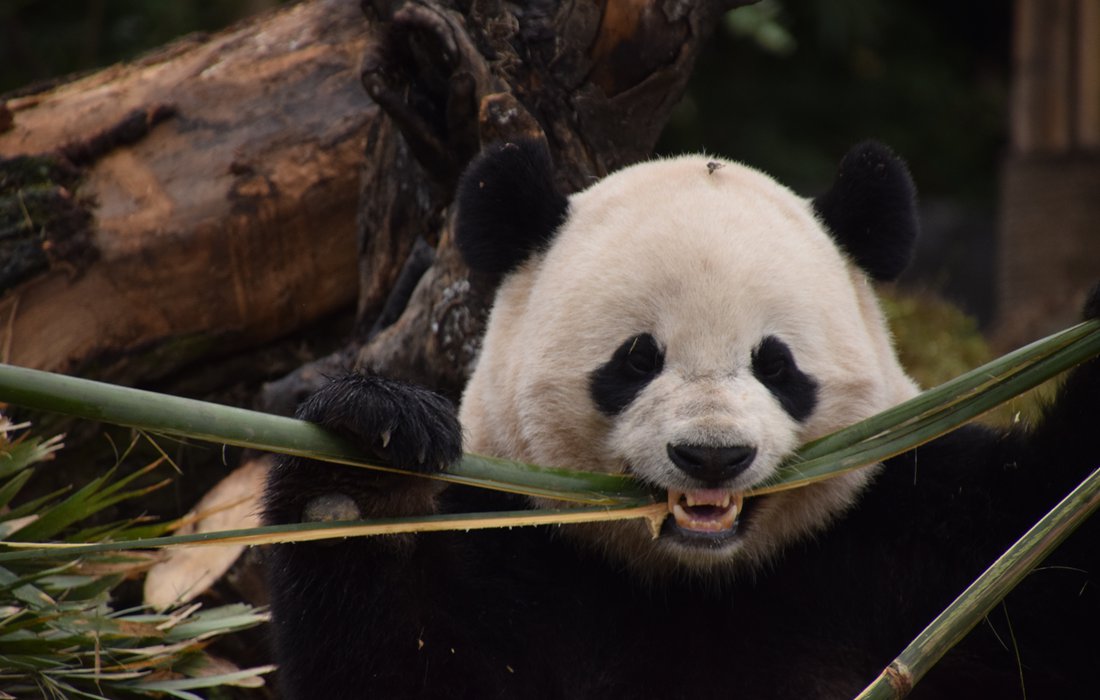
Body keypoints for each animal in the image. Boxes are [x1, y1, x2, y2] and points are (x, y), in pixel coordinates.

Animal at [264, 140, 1100, 699]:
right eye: (638, 359)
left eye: (776, 365)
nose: (712, 456)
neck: (699, 579)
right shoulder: (512, 548)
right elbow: (394, 664)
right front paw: (366, 460)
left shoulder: (915, 535)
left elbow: (1052, 585)